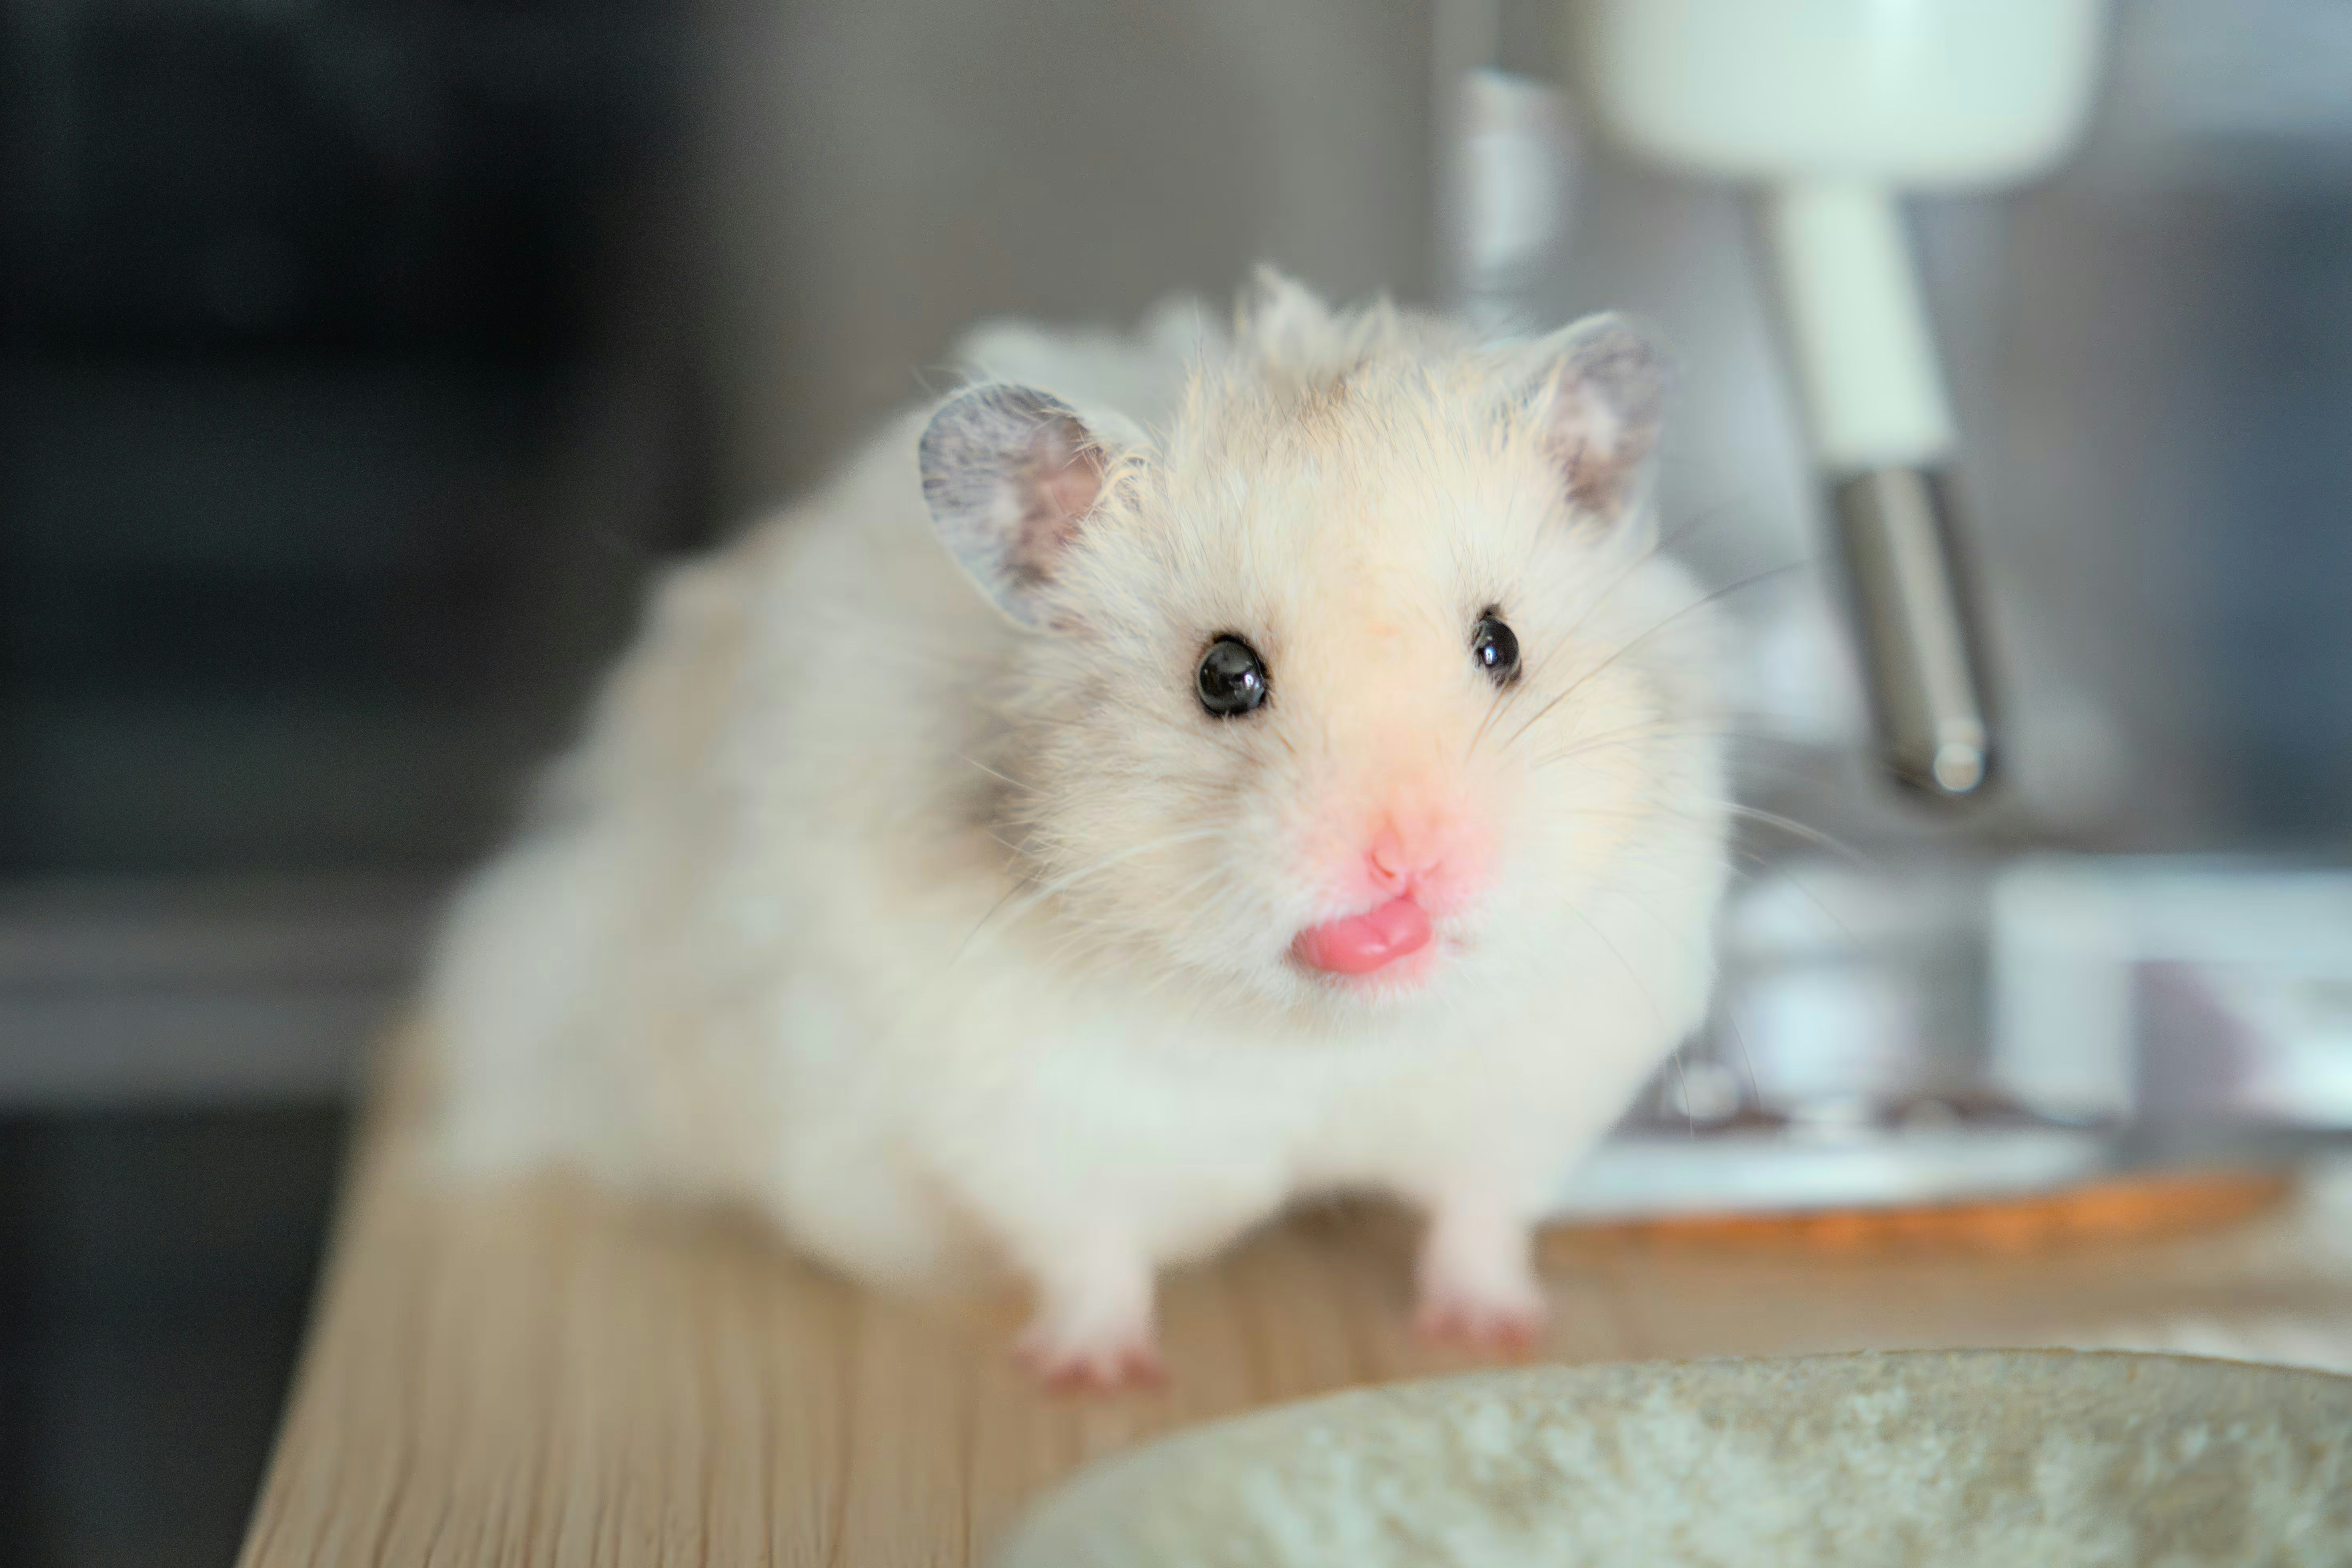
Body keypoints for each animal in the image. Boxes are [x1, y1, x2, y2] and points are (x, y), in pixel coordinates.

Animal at [425, 270, 1731, 1387]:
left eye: (1499, 645)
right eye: (1222, 676)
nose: (1410, 861)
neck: (1310, 1040)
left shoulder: (1534, 1079)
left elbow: (1480, 1210)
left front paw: (1495, 1332)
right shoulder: (1025, 1113)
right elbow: (1087, 1249)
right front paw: (1097, 1373)